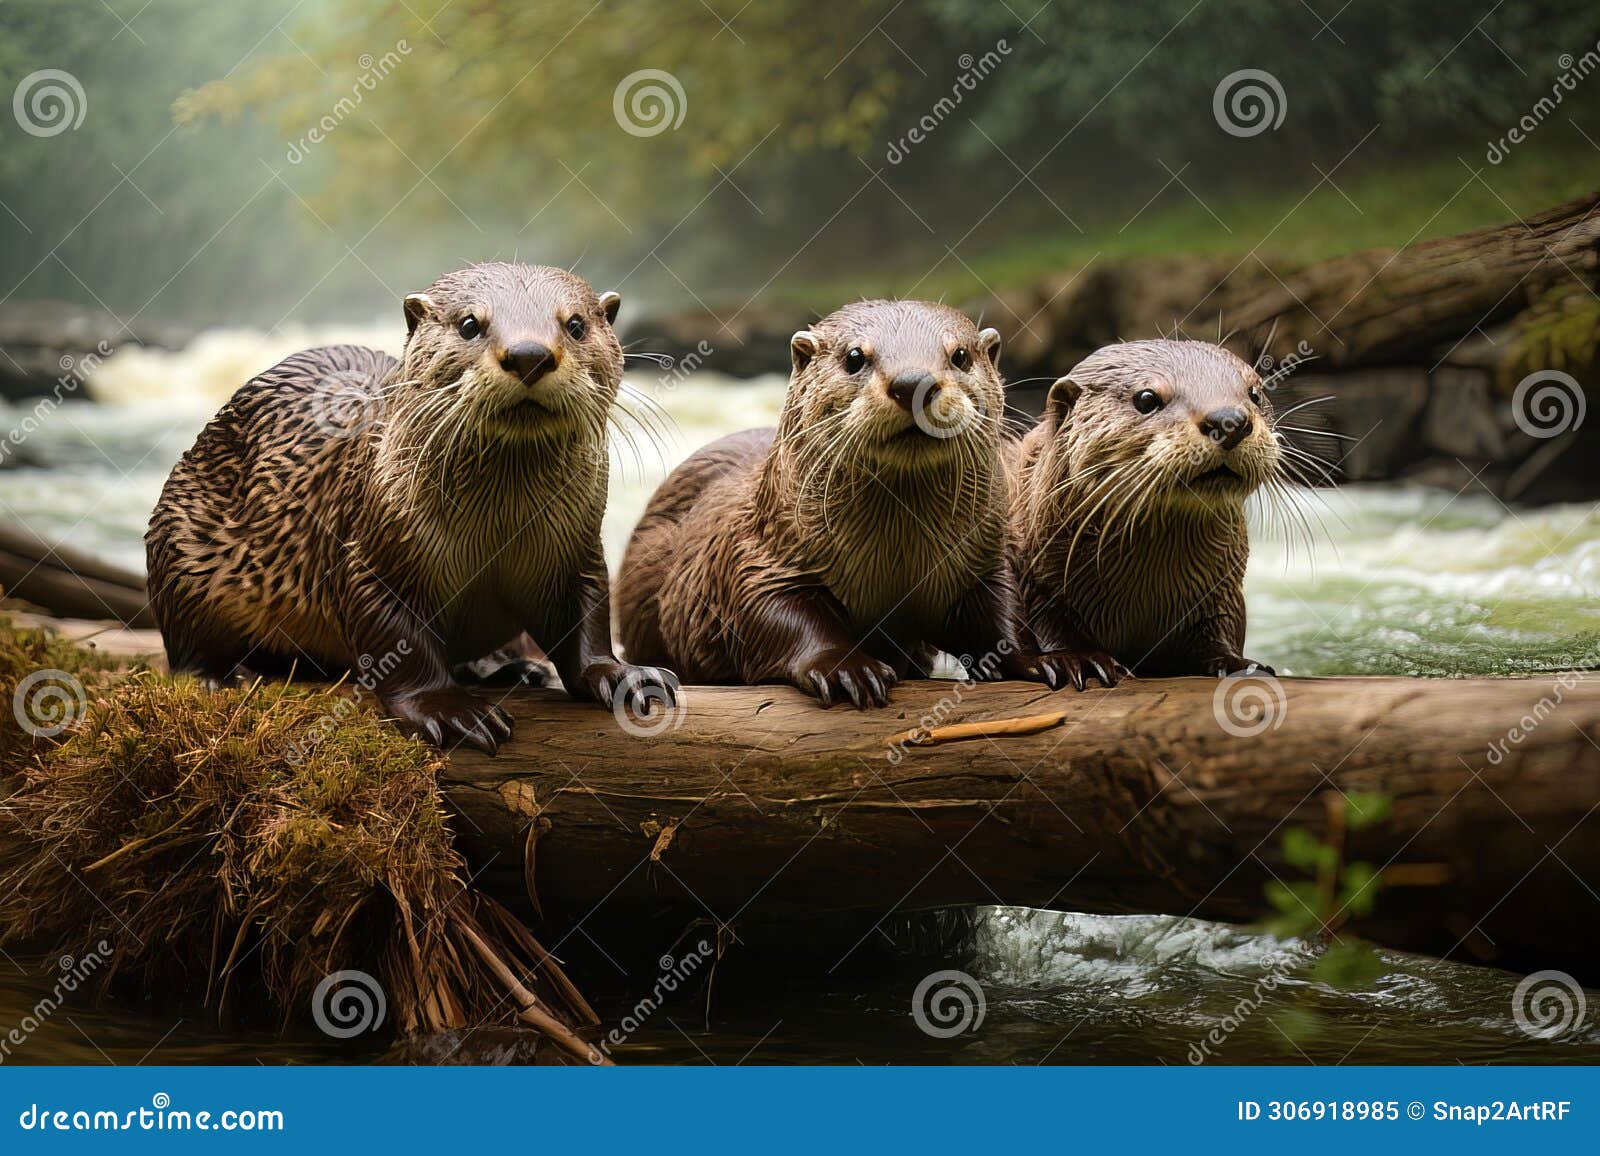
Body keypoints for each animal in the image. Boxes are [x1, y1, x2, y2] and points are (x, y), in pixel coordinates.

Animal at [146, 262, 676, 752]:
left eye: (576, 324)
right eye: (469, 324)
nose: (529, 353)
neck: (498, 529)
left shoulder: (576, 548)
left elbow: (588, 617)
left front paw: (622, 674)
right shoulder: (372, 553)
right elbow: (398, 640)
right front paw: (449, 709)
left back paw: (511, 668)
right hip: (178, 543)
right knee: (185, 641)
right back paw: (216, 678)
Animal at [614, 299, 1118, 708]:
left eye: (960, 355)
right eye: (854, 357)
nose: (913, 381)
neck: (895, 563)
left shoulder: (984, 558)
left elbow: (1003, 615)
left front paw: (1056, 659)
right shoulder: (760, 557)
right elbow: (780, 615)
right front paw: (846, 668)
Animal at [1010, 339, 1281, 677]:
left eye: (1254, 394)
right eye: (1147, 398)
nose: (1229, 420)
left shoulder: (1223, 589)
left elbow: (1221, 625)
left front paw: (1237, 664)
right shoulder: (1036, 577)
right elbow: (1049, 622)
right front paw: (1083, 659)